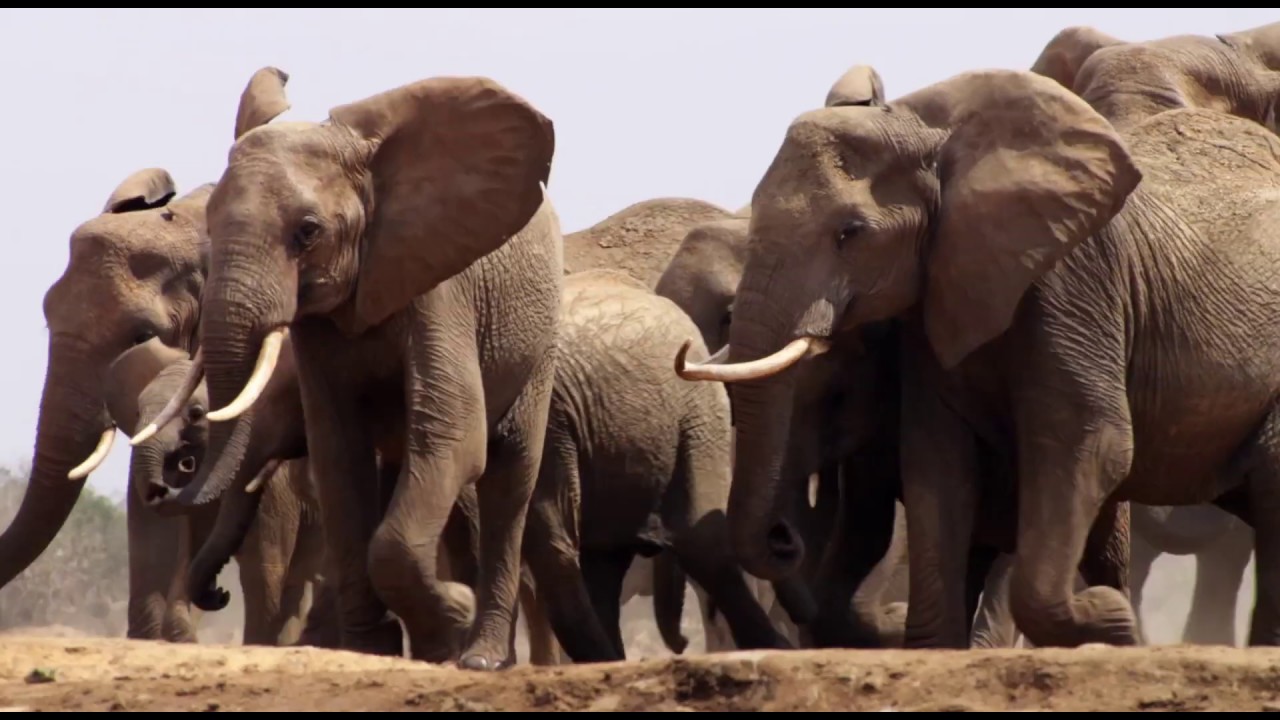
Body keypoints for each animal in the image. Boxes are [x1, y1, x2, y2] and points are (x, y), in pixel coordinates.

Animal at [150, 66, 561, 671]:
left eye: (308, 232)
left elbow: (452, 436)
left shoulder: (440, 287)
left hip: (540, 338)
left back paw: (481, 657)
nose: (217, 594)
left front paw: (451, 617)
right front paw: (377, 647)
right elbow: (338, 454)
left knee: (509, 473)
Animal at [672, 43, 1280, 651]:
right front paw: (932, 651)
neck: (931, 135)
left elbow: (1088, 438)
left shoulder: (1074, 281)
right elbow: (935, 462)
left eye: (850, 234)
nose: (783, 539)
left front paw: (1108, 618)